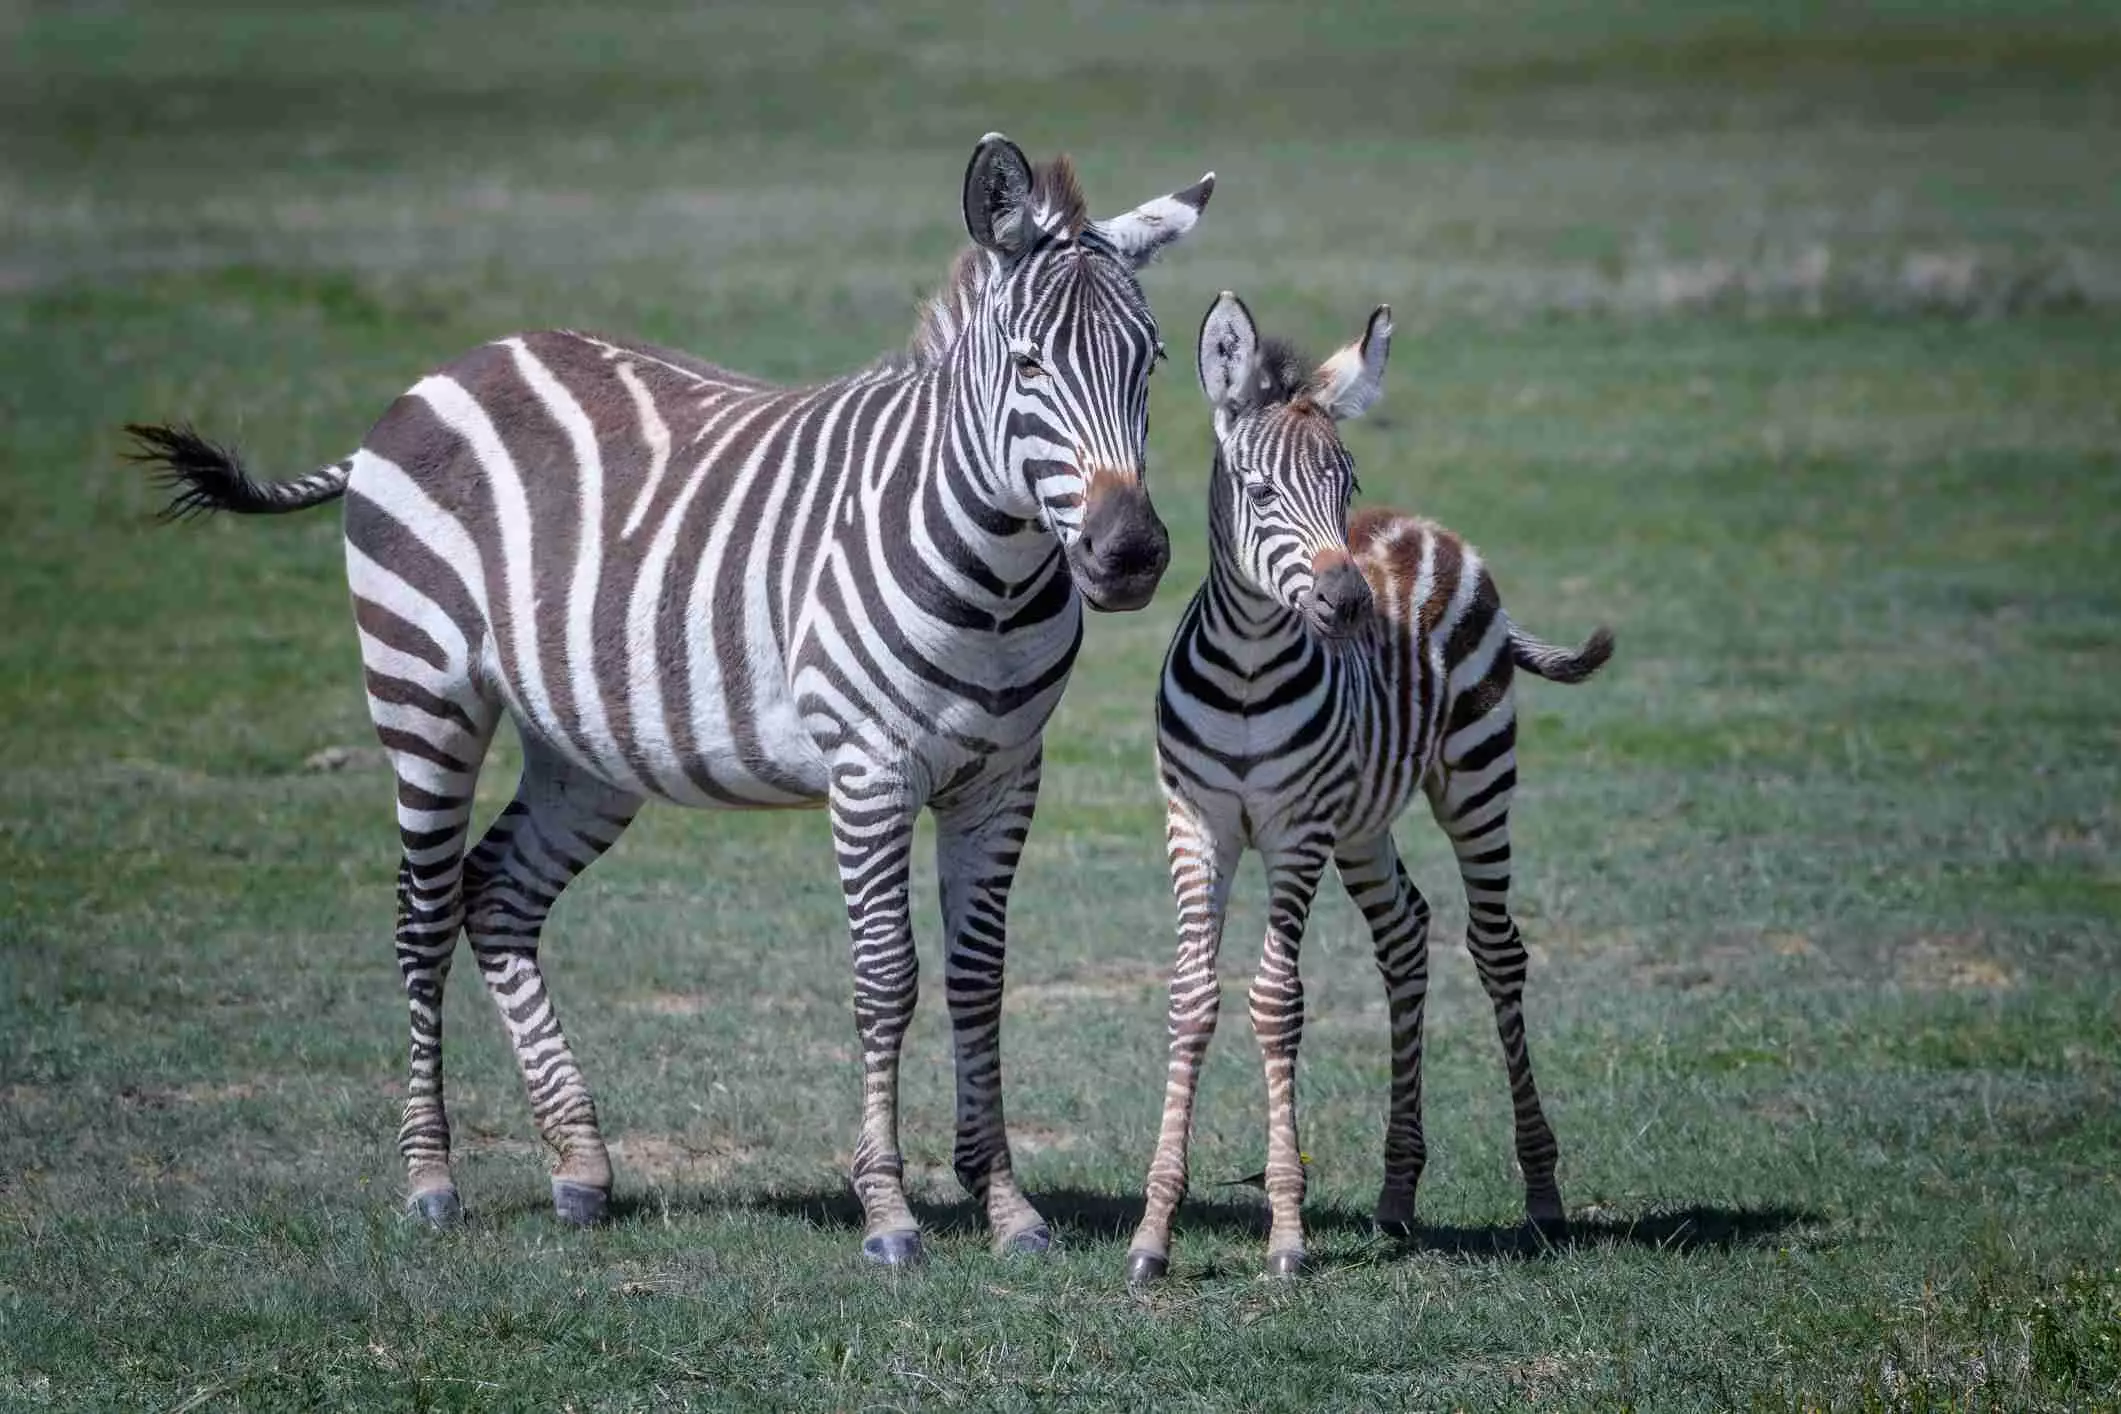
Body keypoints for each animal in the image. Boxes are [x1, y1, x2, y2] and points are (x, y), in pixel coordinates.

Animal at [124, 135, 1213, 1271]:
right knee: (420, 917)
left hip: (586, 748)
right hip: (423, 693)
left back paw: (580, 1166)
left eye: (1151, 363)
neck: (992, 574)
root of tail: (444, 373)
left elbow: (976, 981)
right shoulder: (869, 770)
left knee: (497, 894)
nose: (1129, 555)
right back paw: (430, 1179)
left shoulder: (1002, 776)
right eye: (1029, 365)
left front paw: (1005, 1206)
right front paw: (888, 1212)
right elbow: (886, 979)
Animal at [1128, 290, 1603, 1280]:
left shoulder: (1296, 830)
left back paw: (1541, 1193)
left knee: (1496, 949)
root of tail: (1426, 525)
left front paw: (1286, 1234)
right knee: (1405, 934)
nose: (1348, 607)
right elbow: (1192, 997)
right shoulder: (1198, 824)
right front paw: (1153, 1232)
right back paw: (1395, 1195)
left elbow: (1276, 1002)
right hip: (1362, 823)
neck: (1246, 671)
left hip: (1475, 780)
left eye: (1342, 486)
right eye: (1259, 493)